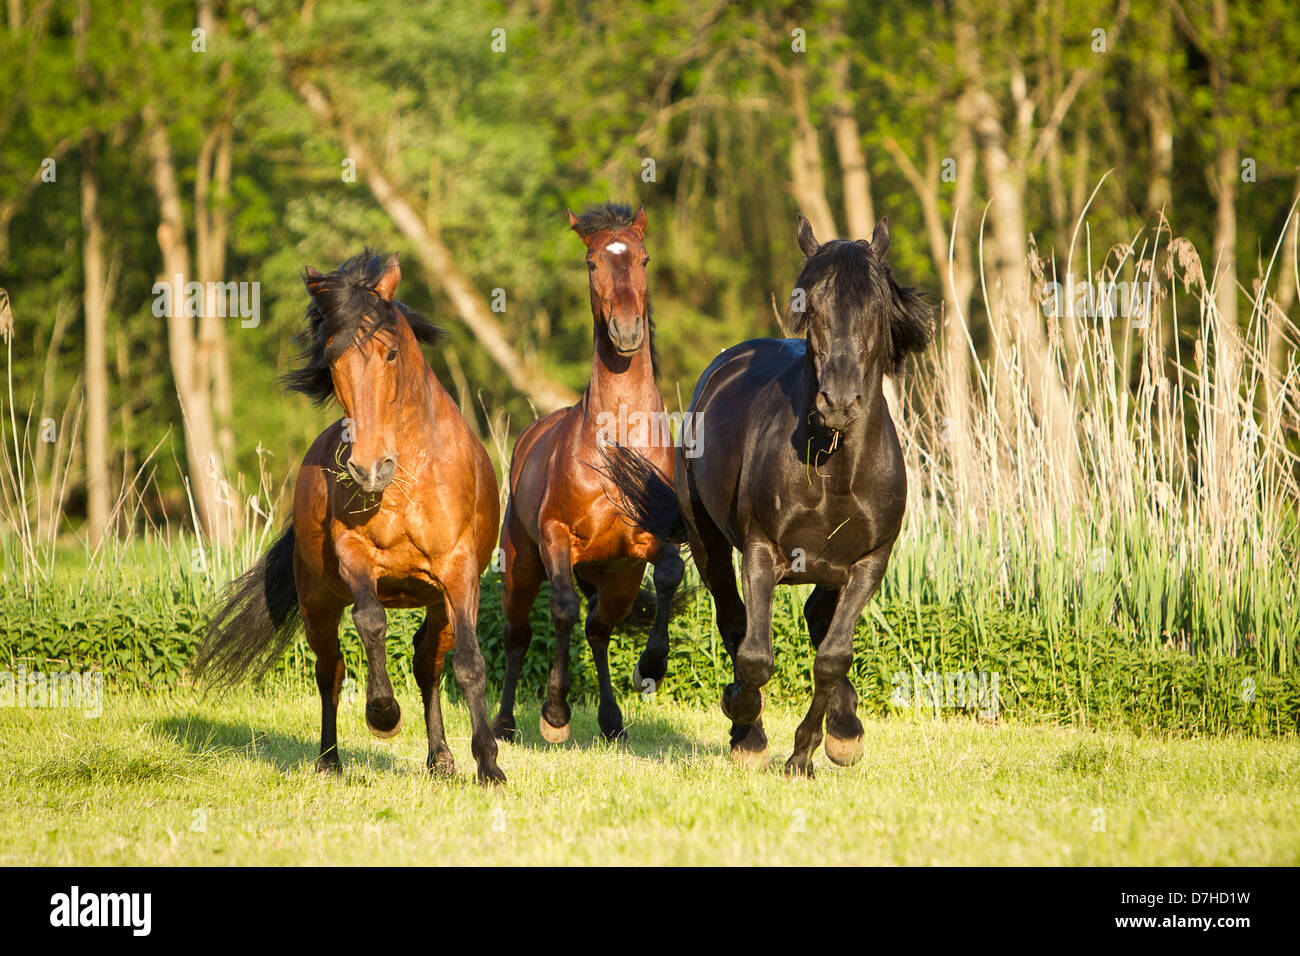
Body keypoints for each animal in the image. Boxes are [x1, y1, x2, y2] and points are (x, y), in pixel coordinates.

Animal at [194, 250, 505, 784]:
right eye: (333, 360)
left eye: (391, 354)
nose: (369, 467)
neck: (408, 477)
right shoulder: (355, 556)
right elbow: (371, 620)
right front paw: (383, 714)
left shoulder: (459, 570)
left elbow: (469, 663)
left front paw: (489, 765)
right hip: (317, 601)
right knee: (331, 670)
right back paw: (329, 760)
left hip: (437, 602)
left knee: (429, 662)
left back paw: (441, 759)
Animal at [491, 203, 685, 745]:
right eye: (592, 262)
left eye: (643, 258)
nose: (627, 331)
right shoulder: (558, 537)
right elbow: (561, 610)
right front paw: (554, 714)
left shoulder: (649, 542)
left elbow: (669, 575)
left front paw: (651, 668)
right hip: (521, 566)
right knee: (520, 635)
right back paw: (506, 723)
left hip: (616, 580)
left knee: (599, 630)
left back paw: (612, 721)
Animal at [600, 214, 931, 775]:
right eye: (810, 307)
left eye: (876, 308)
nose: (838, 402)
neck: (834, 469)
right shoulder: (760, 553)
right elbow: (754, 655)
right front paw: (746, 726)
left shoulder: (868, 563)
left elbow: (833, 657)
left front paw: (807, 752)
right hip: (710, 543)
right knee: (734, 621)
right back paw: (745, 727)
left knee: (819, 621)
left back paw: (844, 728)